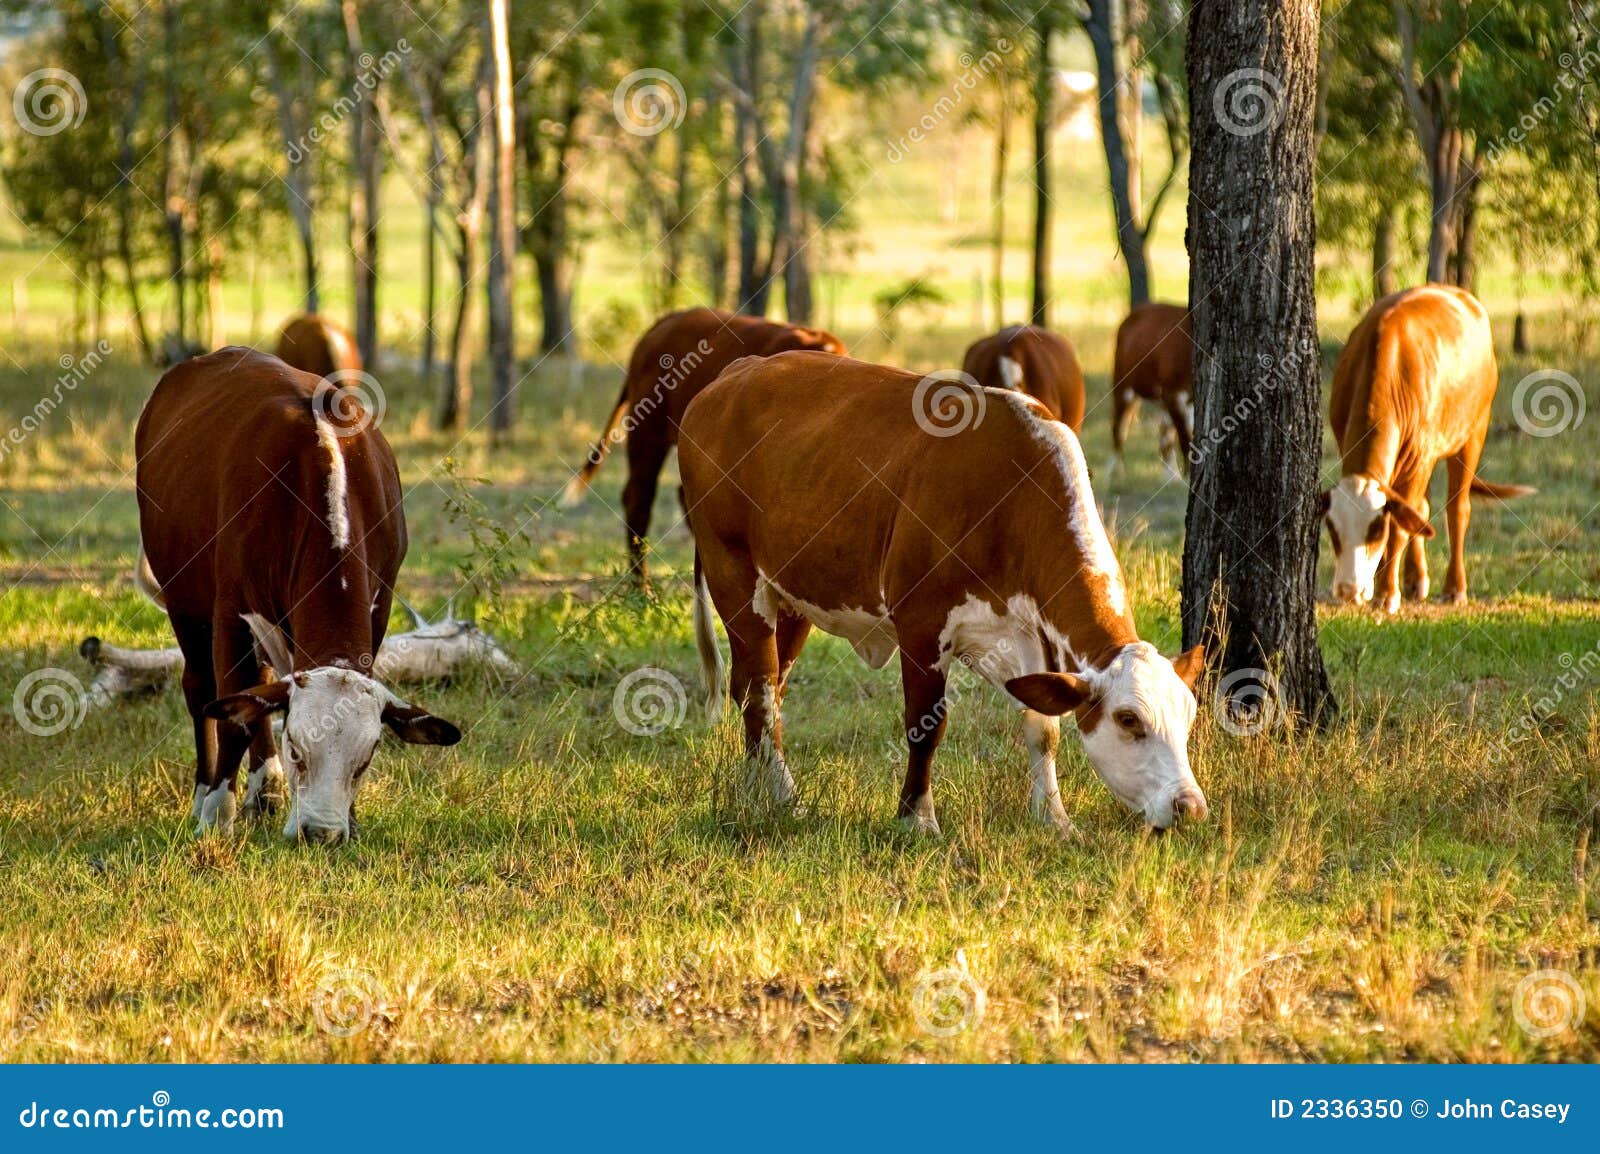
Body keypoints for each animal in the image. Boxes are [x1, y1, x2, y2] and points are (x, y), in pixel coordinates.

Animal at [135, 348, 459, 844]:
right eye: (297, 750)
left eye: (365, 759)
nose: (320, 832)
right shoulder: (232, 610)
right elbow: (234, 714)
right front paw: (217, 812)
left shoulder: (380, 604)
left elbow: (257, 699)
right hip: (184, 599)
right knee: (202, 688)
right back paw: (205, 792)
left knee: (262, 683)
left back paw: (265, 789)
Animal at [679, 352, 1208, 836]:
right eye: (1129, 719)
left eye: (1187, 717)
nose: (1190, 806)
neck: (1011, 501)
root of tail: (736, 373)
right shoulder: (921, 624)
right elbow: (925, 726)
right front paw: (917, 818)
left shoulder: (1028, 637)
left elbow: (1043, 729)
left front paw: (1055, 819)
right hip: (734, 575)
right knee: (759, 690)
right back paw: (783, 797)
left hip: (791, 597)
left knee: (763, 689)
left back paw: (759, 790)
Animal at [1109, 302, 1194, 479]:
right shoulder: (1173, 393)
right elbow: (1185, 439)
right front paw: (1188, 477)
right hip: (1122, 384)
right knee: (1119, 428)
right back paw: (1116, 473)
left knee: (1164, 437)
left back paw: (1170, 475)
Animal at [1322, 285, 1534, 613]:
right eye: (1333, 529)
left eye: (1376, 529)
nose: (1348, 590)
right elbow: (1408, 514)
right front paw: (1390, 585)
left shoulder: (1421, 456)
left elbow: (1400, 526)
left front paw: (1386, 593)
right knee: (1421, 508)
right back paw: (1415, 580)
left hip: (1473, 431)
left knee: (1457, 510)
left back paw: (1454, 589)